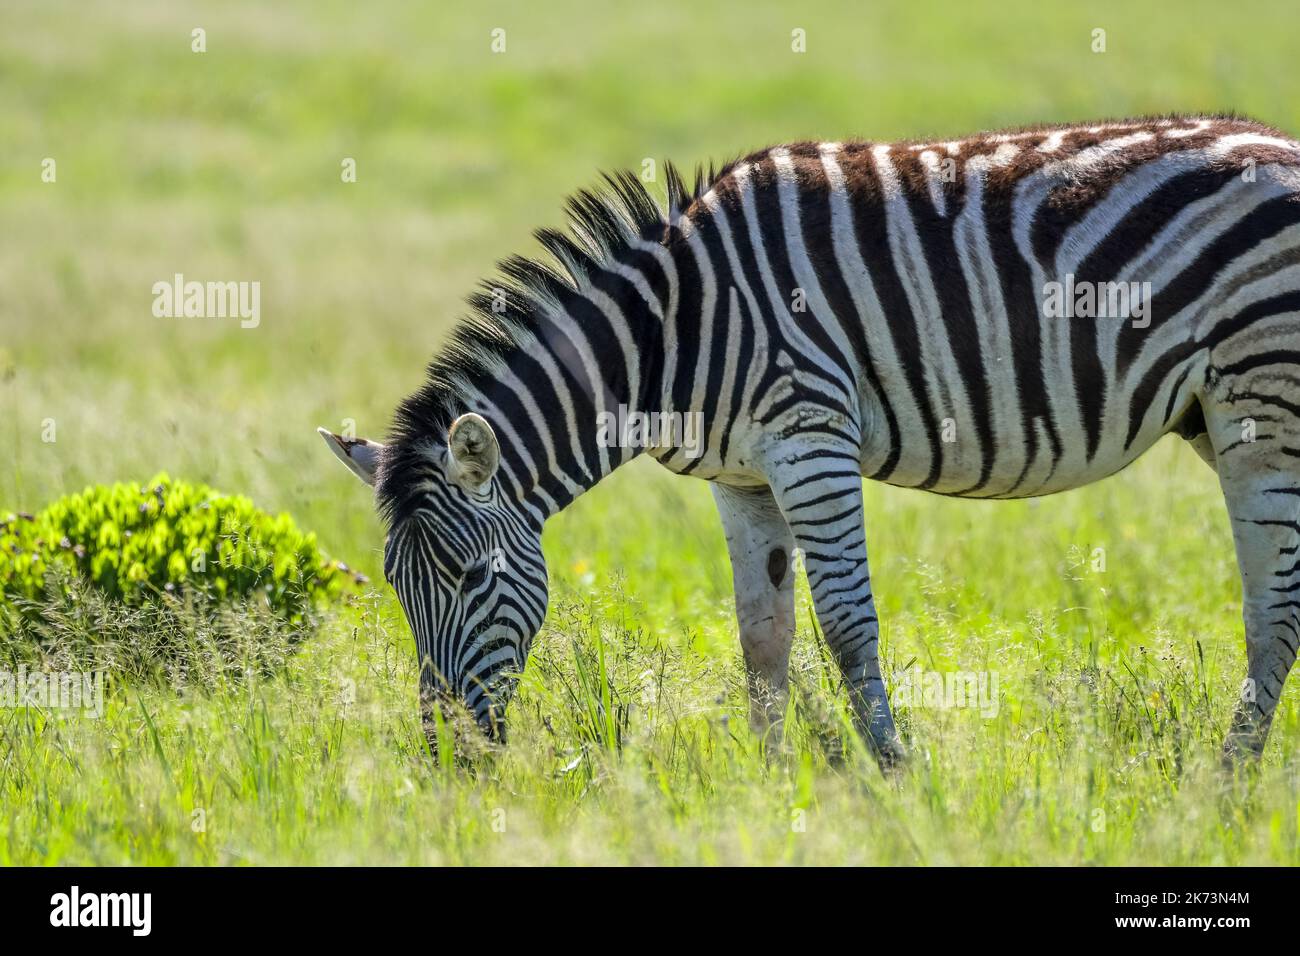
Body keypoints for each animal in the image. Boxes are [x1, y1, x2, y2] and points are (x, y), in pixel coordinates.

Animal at [320, 114, 1300, 770]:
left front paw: (896, 781)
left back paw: (1224, 786)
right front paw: (769, 785)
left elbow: (847, 627)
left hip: (1262, 397)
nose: (449, 760)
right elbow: (764, 636)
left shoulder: (809, 438)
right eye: (397, 587)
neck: (669, 336)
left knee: (1275, 611)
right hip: (1218, 414)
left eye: (470, 578)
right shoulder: (743, 478)